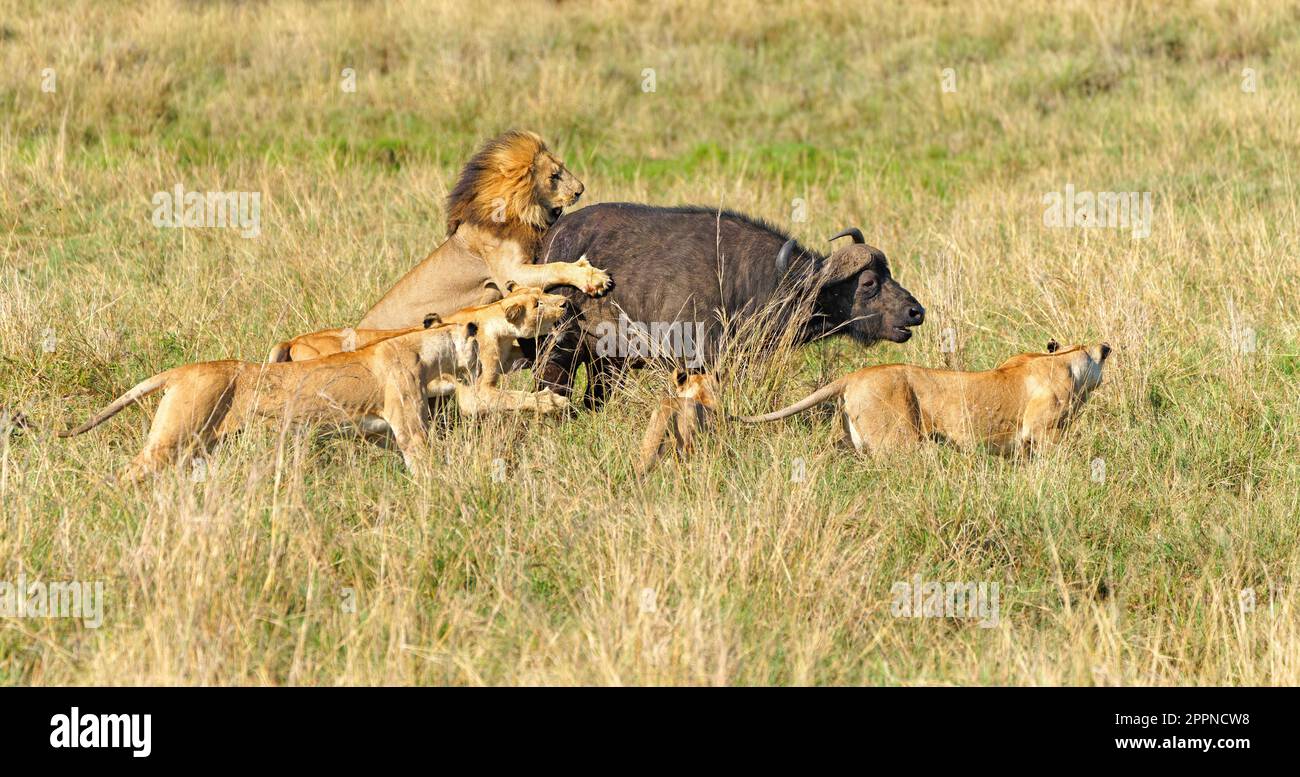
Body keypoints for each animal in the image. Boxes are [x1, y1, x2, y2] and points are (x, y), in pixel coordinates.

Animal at [57, 321, 480, 482]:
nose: (479, 369)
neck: (427, 350)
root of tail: (184, 369)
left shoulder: (380, 429)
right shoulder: (409, 427)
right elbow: (424, 462)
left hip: (199, 445)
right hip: (173, 436)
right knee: (129, 472)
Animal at [355, 130, 611, 331]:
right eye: (554, 176)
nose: (580, 190)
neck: (522, 212)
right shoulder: (510, 273)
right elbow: (555, 267)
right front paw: (592, 277)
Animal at [529, 203, 926, 407]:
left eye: (888, 273)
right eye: (868, 283)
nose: (915, 311)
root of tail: (548, 243)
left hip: (606, 365)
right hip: (558, 353)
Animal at [740, 340, 1112, 456]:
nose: (1106, 347)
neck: (1066, 359)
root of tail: (852, 376)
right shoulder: (1043, 430)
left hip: (846, 438)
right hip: (902, 442)